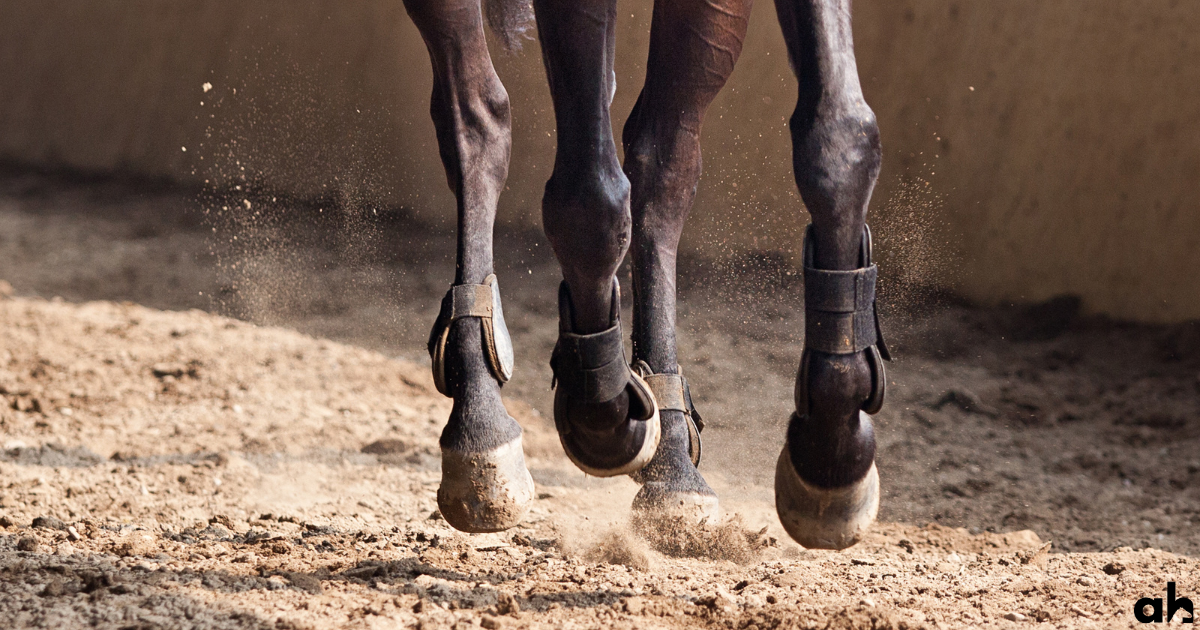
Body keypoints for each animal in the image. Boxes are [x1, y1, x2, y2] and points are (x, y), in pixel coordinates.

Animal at [410, 0, 887, 550]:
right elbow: (588, 199)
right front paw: (602, 413)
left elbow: (840, 140)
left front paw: (833, 454)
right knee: (476, 116)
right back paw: (482, 432)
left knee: (657, 163)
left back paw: (672, 462)